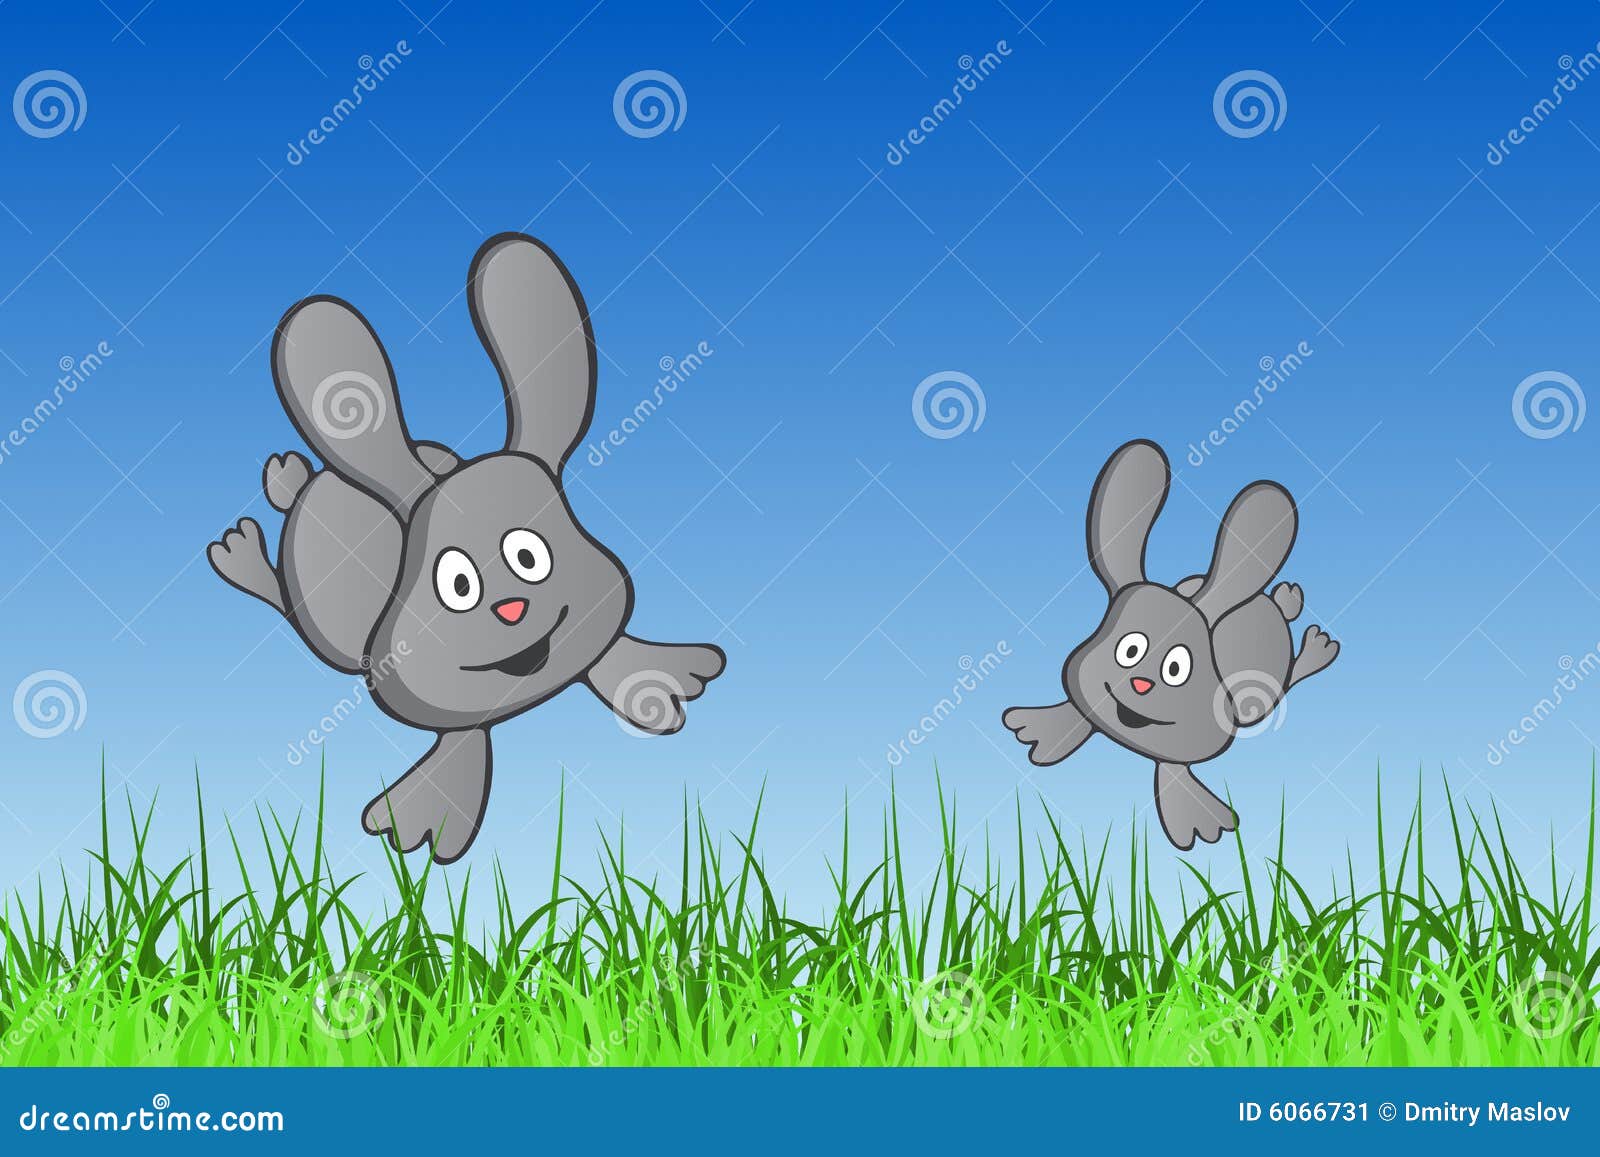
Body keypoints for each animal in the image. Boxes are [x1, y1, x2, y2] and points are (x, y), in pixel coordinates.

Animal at [207, 233, 726, 864]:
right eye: (458, 584)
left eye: (529, 557)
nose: (512, 610)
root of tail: (322, 480)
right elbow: (462, 744)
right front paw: (420, 824)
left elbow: (602, 650)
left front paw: (663, 681)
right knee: (284, 594)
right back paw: (248, 540)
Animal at [1002, 439, 1338, 850]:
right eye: (1130, 650)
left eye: (1176, 668)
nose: (1141, 685)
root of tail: (1264, 602)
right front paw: (1039, 731)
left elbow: (1174, 775)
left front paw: (1200, 825)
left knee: (1290, 673)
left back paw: (1311, 636)